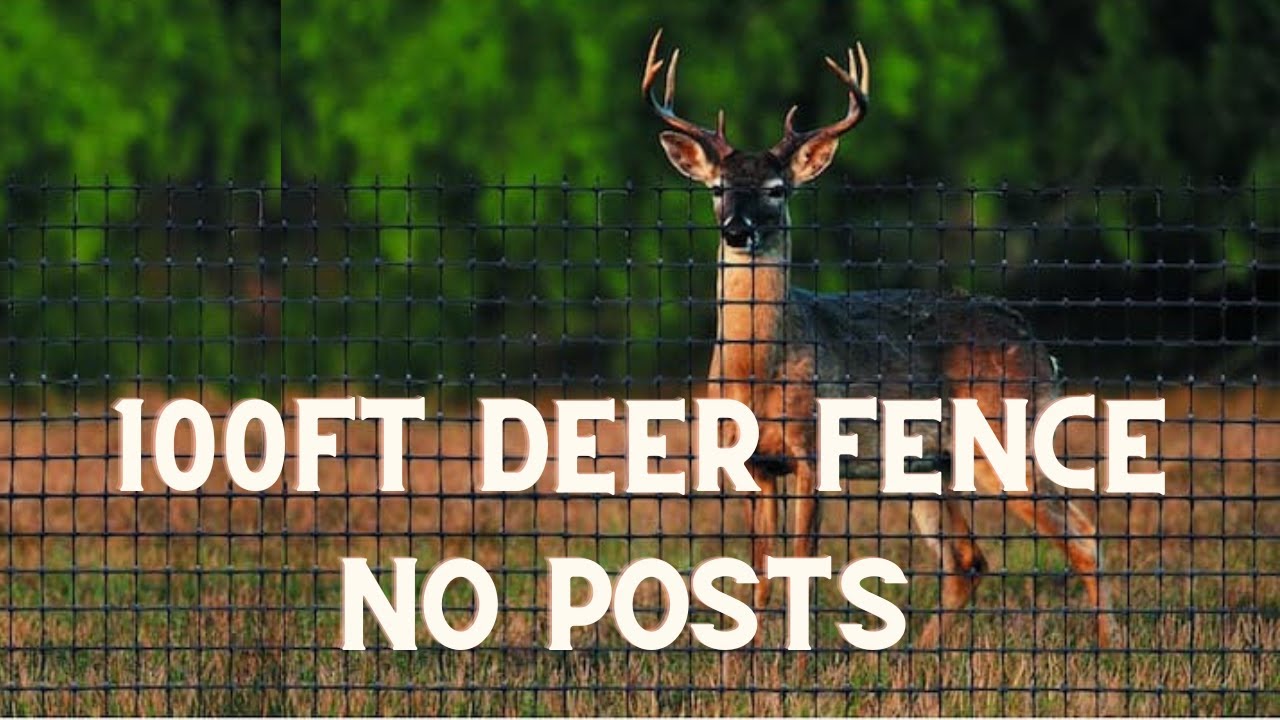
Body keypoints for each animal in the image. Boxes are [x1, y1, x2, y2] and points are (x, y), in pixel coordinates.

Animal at [642, 29, 1113, 649]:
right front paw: (744, 662)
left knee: (1083, 538)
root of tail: (1041, 348)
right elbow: (758, 576)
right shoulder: (750, 463)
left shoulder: (814, 450)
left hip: (1011, 437)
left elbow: (800, 567)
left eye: (777, 189)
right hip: (929, 464)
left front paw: (796, 662)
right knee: (969, 560)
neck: (759, 369)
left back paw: (1113, 650)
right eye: (718, 188)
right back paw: (913, 659)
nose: (737, 230)